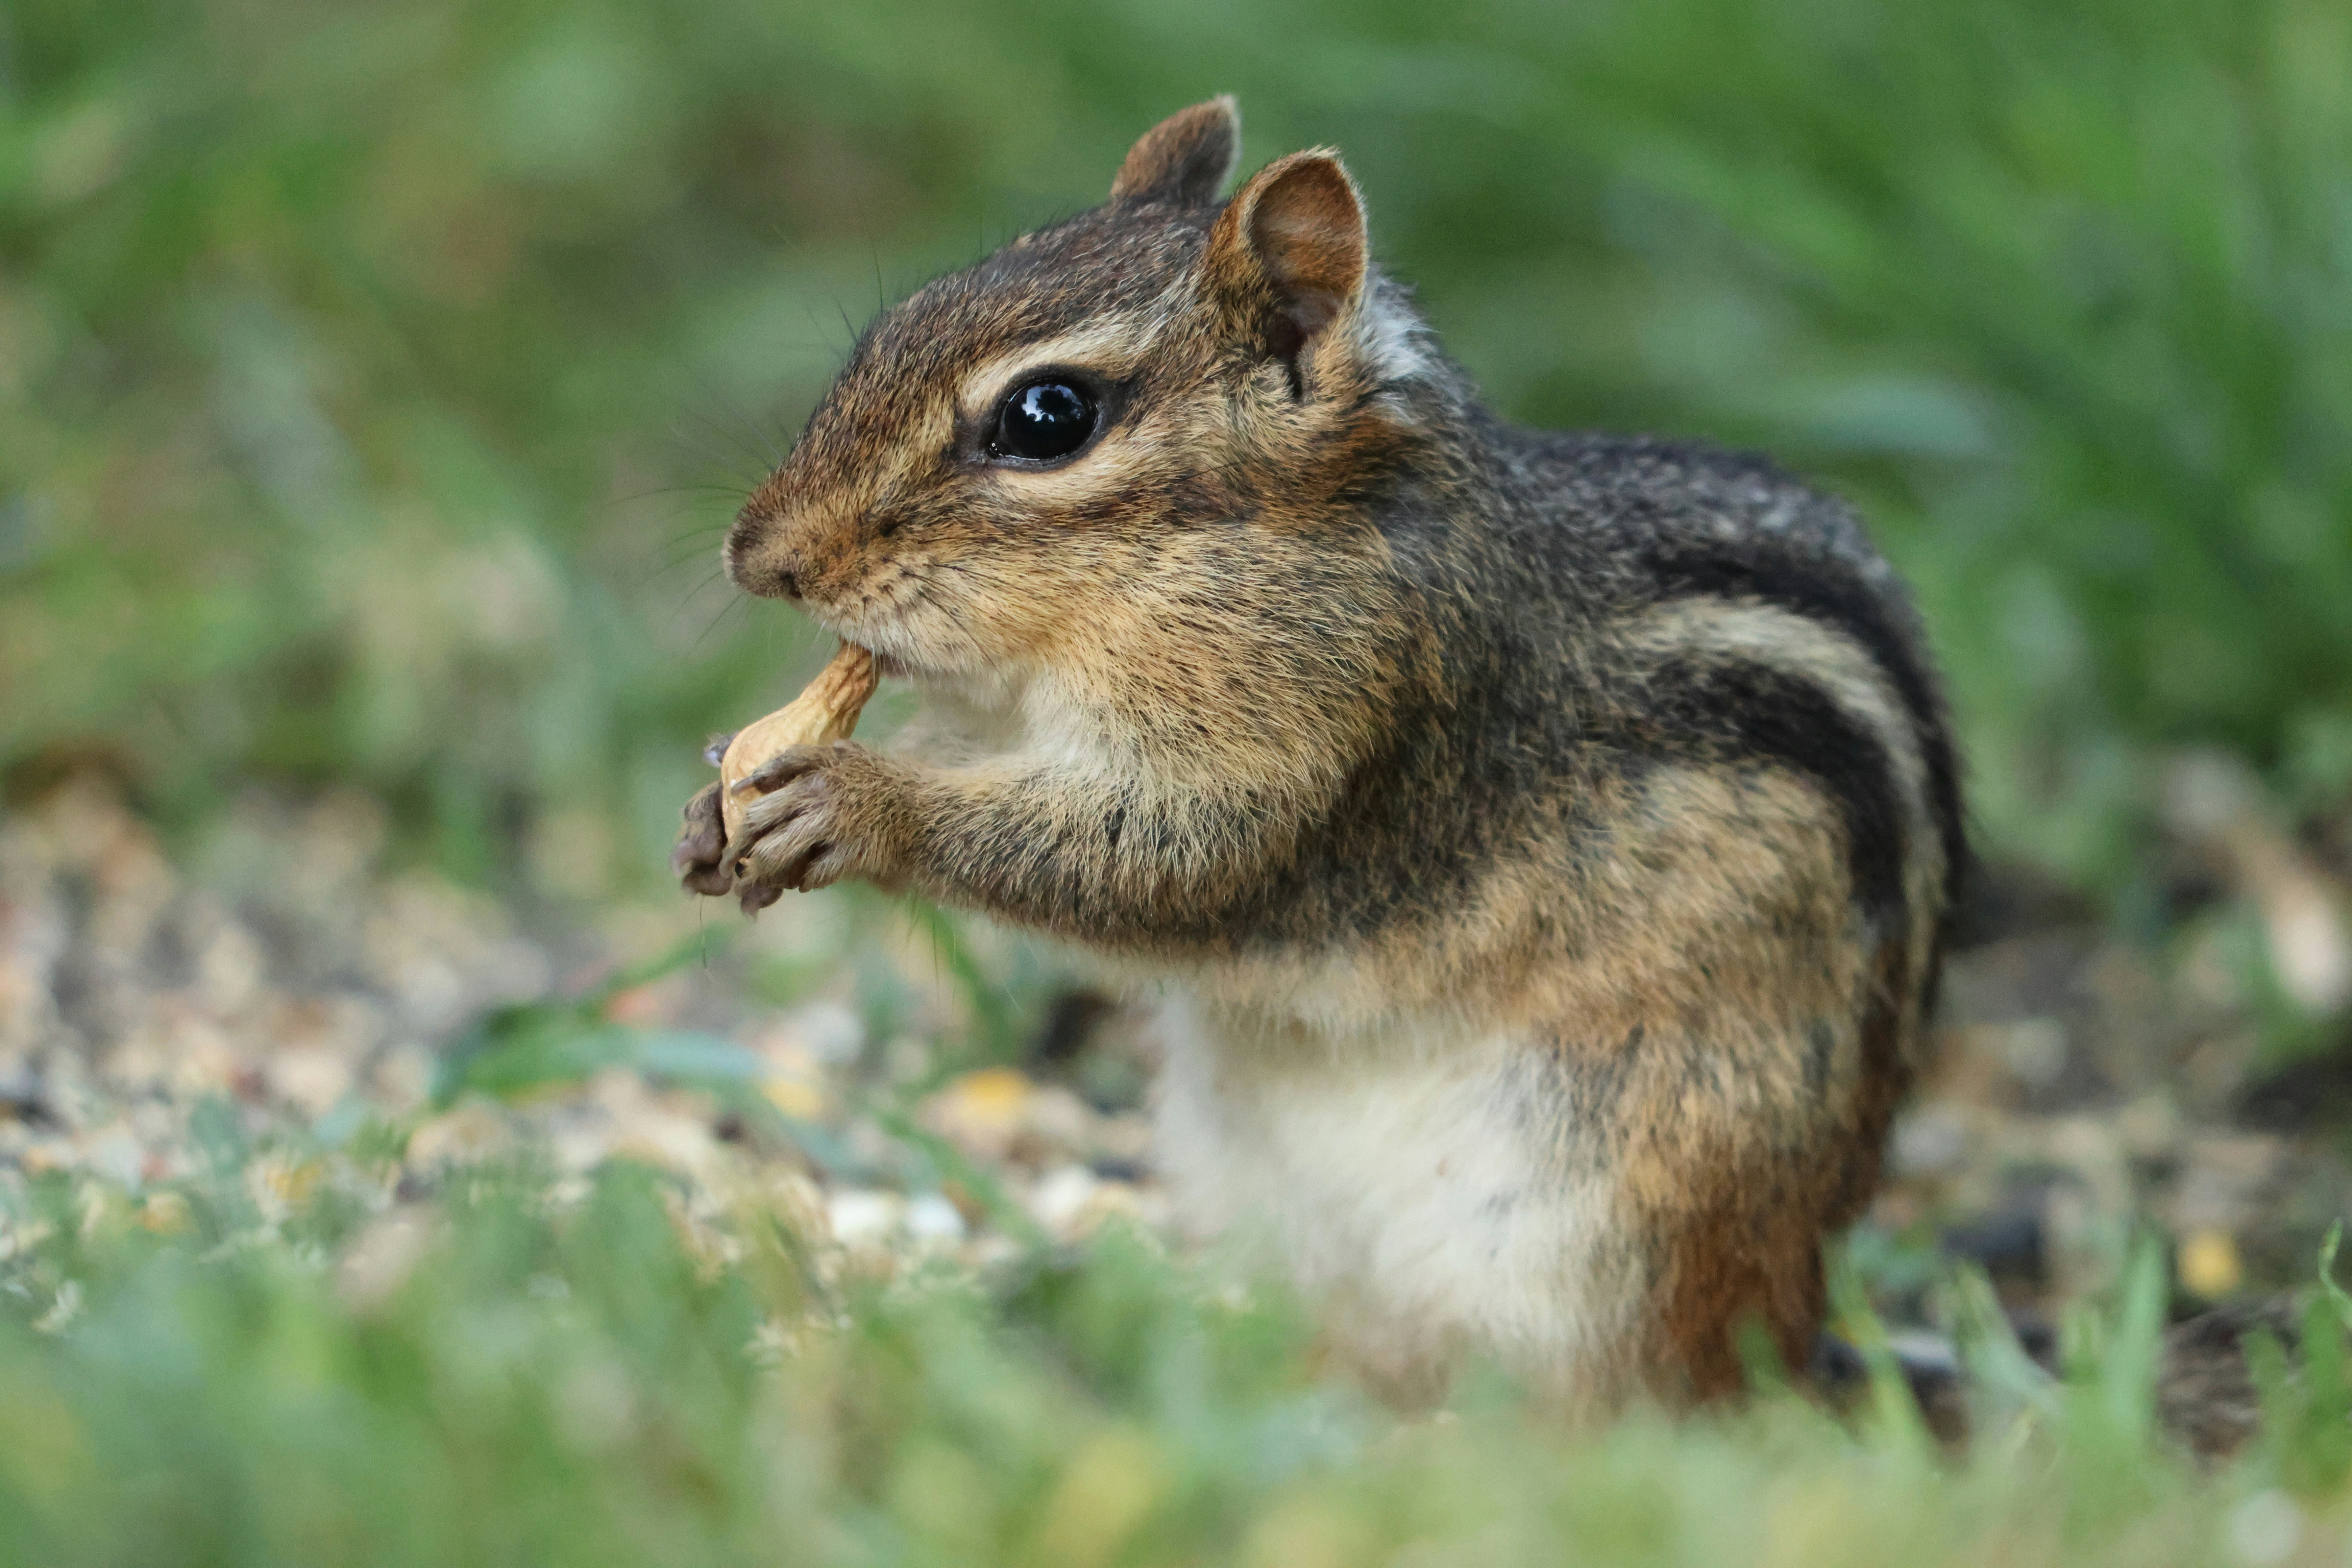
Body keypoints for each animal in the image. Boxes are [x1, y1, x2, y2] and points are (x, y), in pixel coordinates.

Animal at [673, 97, 1964, 1413]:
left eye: (1049, 416)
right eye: (890, 329)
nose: (759, 557)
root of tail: (1794, 1327)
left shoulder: (1340, 730)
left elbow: (1166, 866)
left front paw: (853, 804)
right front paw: (716, 804)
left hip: (1611, 1211)